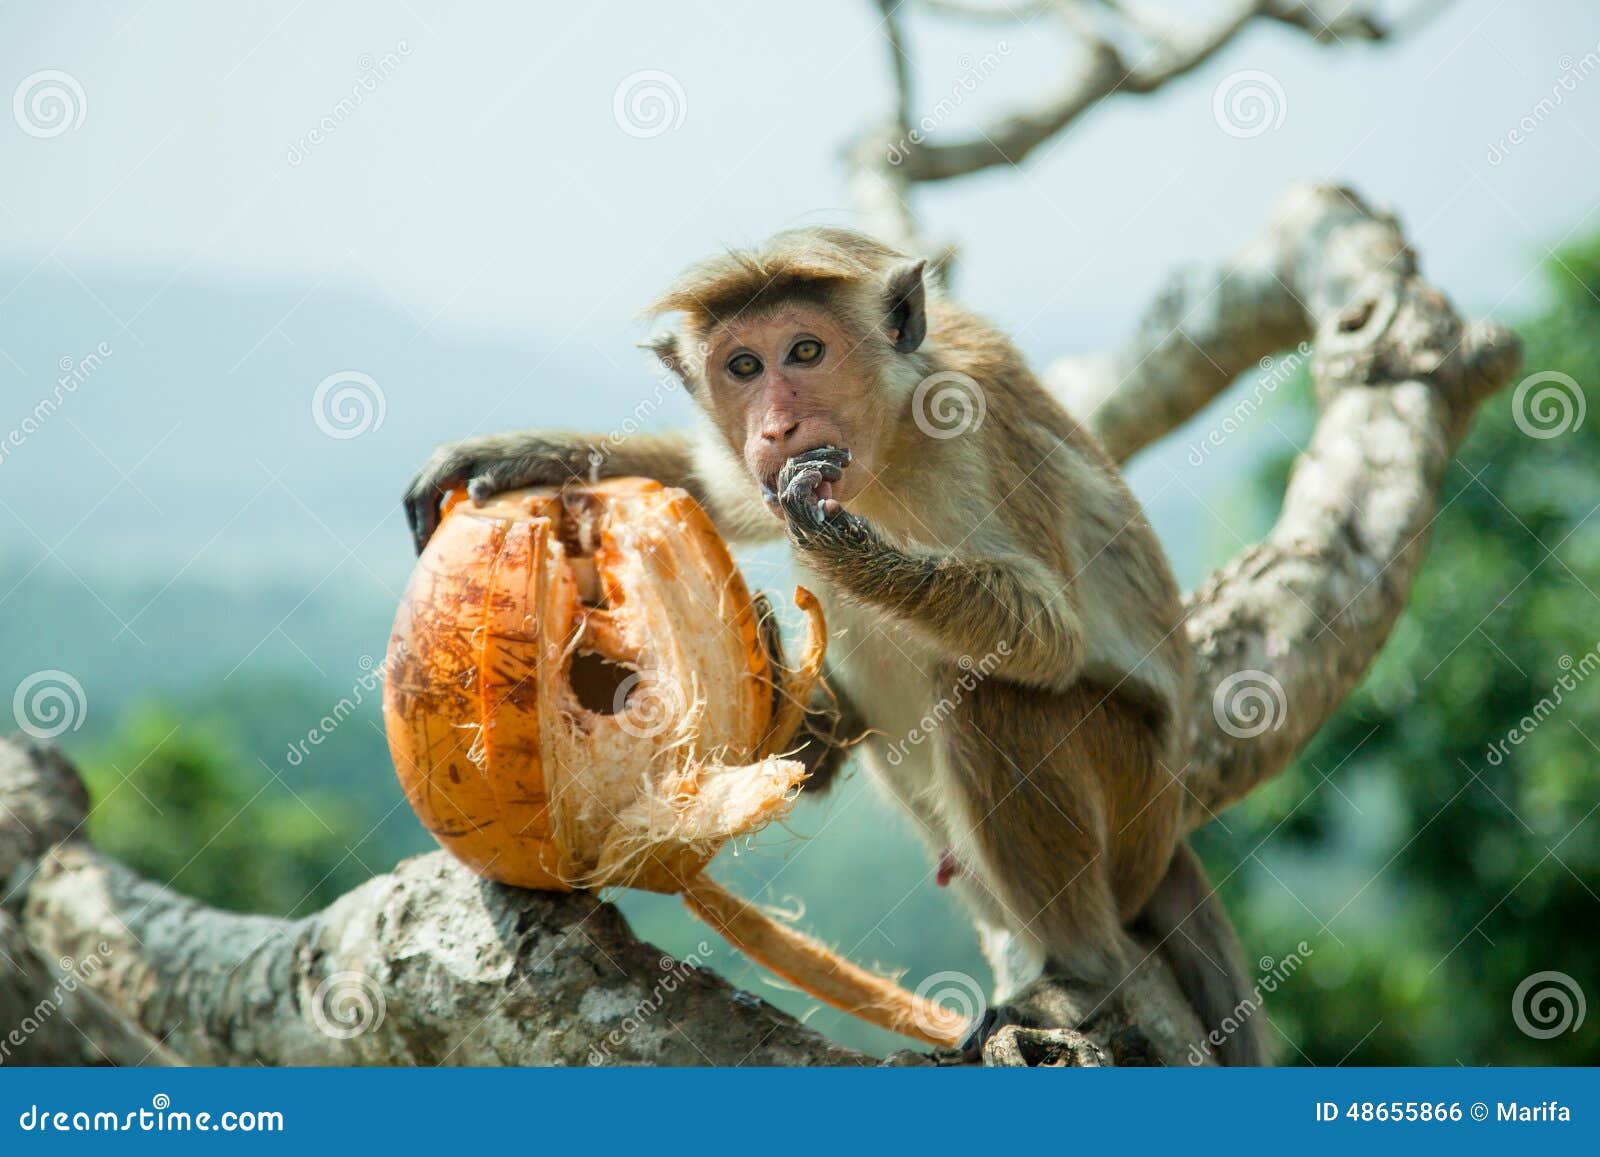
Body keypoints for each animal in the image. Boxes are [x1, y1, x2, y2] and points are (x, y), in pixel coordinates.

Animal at [402, 227, 1266, 1065]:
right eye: (743, 366)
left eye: (806, 351)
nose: (777, 425)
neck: (891, 438)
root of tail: (1169, 832)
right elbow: (715, 490)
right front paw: (519, 452)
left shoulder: (972, 426)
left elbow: (1052, 637)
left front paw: (845, 547)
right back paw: (805, 724)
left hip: (1132, 801)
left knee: (998, 700)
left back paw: (1081, 969)